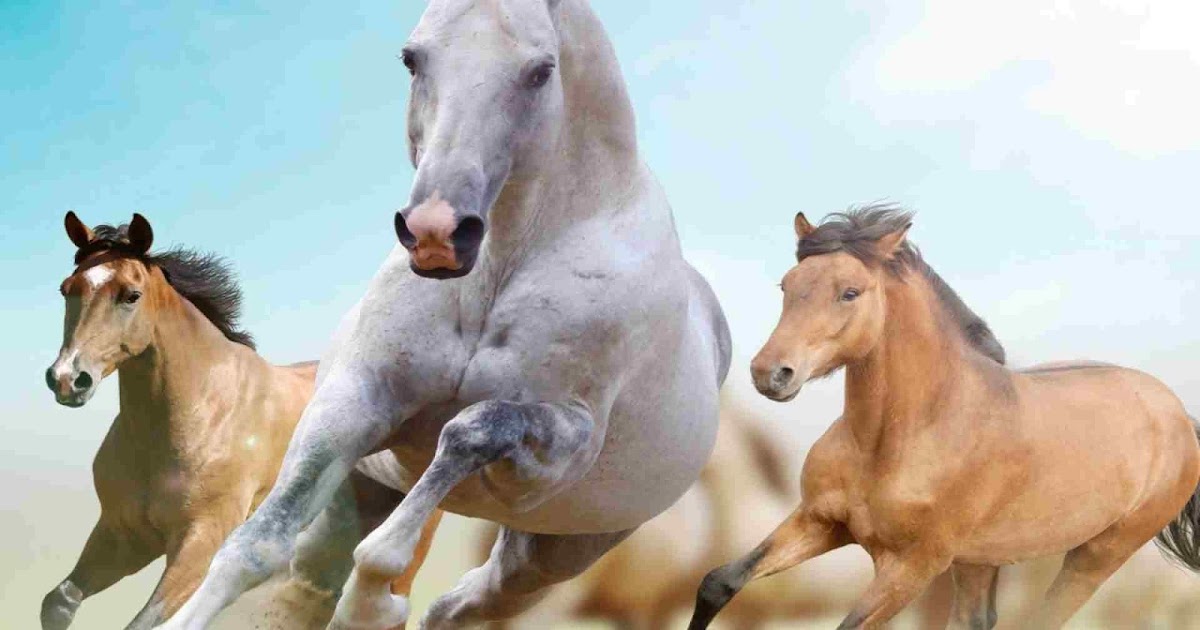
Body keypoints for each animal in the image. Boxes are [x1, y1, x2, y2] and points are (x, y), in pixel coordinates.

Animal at [41, 213, 440, 630]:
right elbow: (59, 602)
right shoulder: (124, 535)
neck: (202, 413)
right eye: (67, 289)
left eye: (131, 295)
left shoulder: (200, 545)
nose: (68, 379)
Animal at [155, 1, 731, 628]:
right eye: (412, 58)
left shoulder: (557, 450)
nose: (436, 234)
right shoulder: (356, 400)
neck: (498, 271)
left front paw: (371, 602)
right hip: (362, 495)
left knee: (463, 603)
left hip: (545, 558)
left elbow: (465, 435)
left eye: (541, 70)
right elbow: (255, 545)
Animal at [689, 206, 1200, 630]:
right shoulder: (820, 522)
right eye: (787, 286)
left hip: (1094, 558)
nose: (770, 373)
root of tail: (1178, 414)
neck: (898, 437)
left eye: (850, 292)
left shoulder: (912, 566)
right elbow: (718, 582)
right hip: (981, 559)